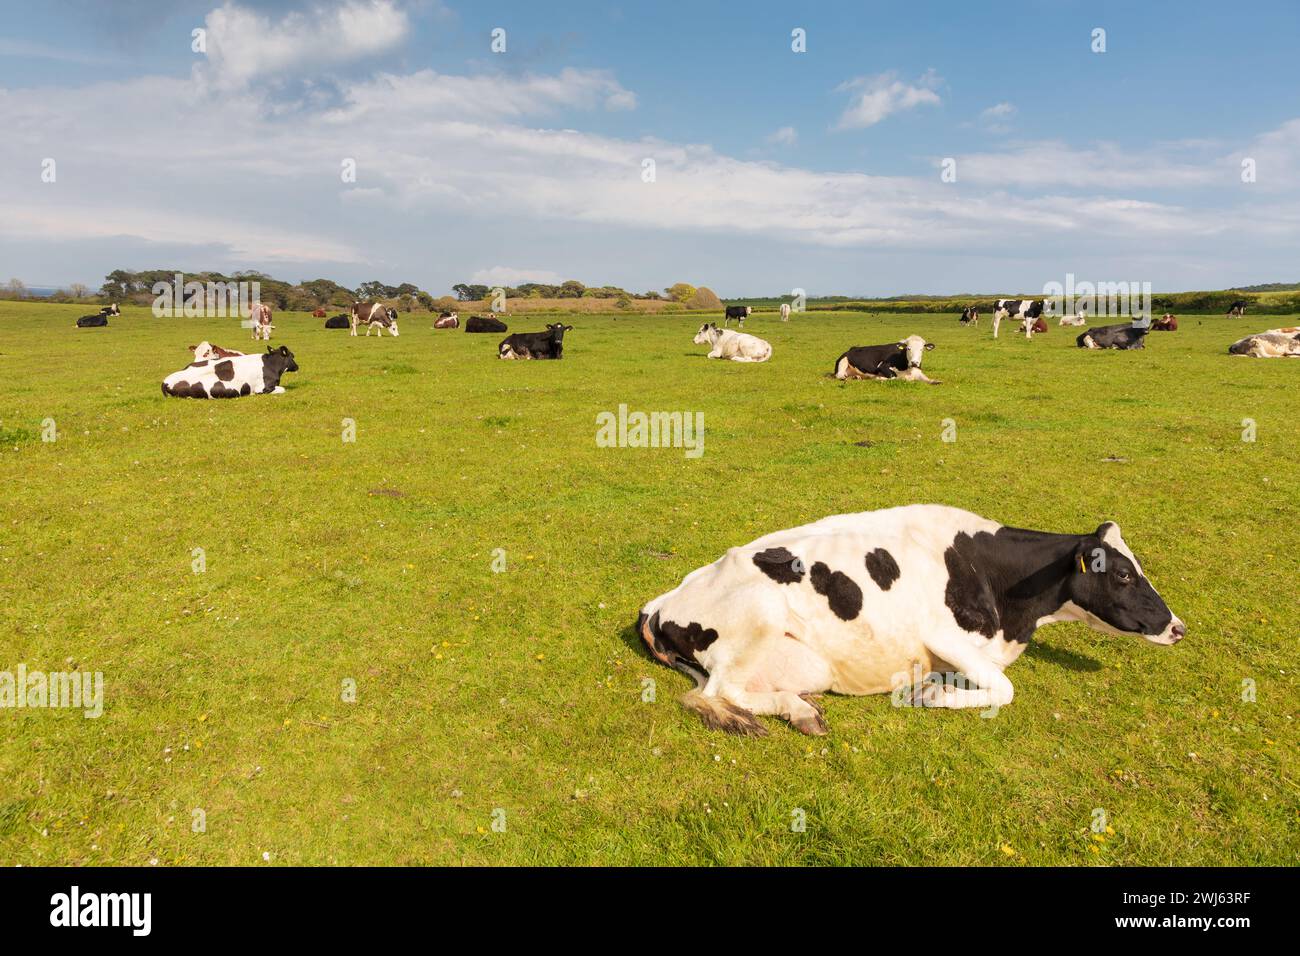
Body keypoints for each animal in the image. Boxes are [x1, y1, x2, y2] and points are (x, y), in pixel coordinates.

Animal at [162, 345, 299, 399]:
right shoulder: (262, 388)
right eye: (292, 355)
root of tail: (165, 381)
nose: (297, 366)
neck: (270, 364)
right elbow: (282, 389)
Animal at [636, 504, 1183, 736]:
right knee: (717, 693)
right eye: (1124, 575)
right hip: (759, 620)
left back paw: (802, 705)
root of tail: (665, 597)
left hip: (810, 665)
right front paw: (933, 694)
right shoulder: (945, 635)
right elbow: (1004, 689)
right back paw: (798, 713)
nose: (1178, 626)